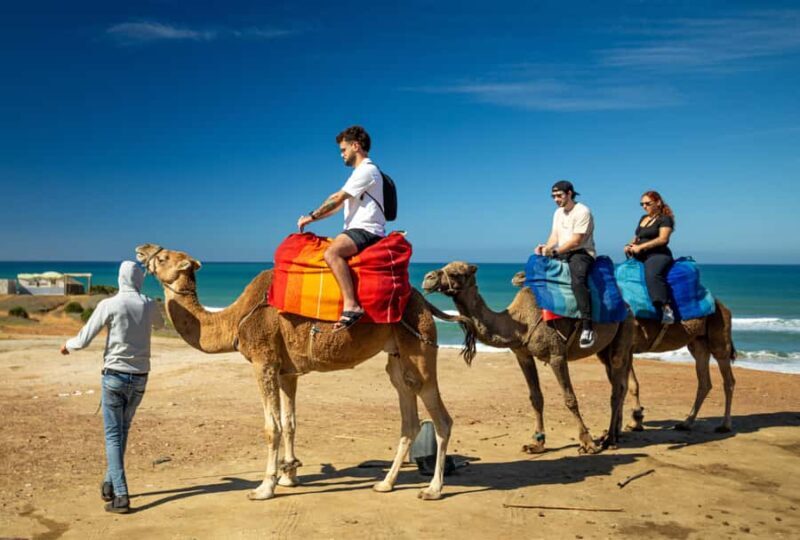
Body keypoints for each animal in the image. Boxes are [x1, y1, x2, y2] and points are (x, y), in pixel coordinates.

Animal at [135, 243, 476, 501]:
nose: (142, 248)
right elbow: (290, 423)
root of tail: (423, 301)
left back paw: (433, 489)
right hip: (397, 356)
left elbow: (271, 427)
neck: (234, 320)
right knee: (409, 413)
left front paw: (264, 488)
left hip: (420, 346)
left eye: (164, 257)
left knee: (440, 416)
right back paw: (385, 483)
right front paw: (289, 477)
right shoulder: (287, 371)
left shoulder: (264, 362)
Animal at [422, 262, 635, 454]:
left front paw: (588, 443)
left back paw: (609, 440)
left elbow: (570, 399)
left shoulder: (557, 354)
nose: (428, 278)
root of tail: (627, 305)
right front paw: (536, 444)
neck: (519, 323)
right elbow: (536, 398)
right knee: (619, 384)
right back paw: (613, 434)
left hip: (623, 331)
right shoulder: (522, 354)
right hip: (604, 350)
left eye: (456, 272)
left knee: (616, 389)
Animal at [510, 271, 737, 432]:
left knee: (728, 378)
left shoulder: (626, 346)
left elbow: (625, 385)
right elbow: (628, 385)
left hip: (719, 336)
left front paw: (629, 423)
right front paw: (632, 421)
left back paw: (725, 425)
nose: (518, 276)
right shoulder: (616, 351)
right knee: (704, 380)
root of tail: (722, 305)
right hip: (698, 343)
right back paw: (686, 422)